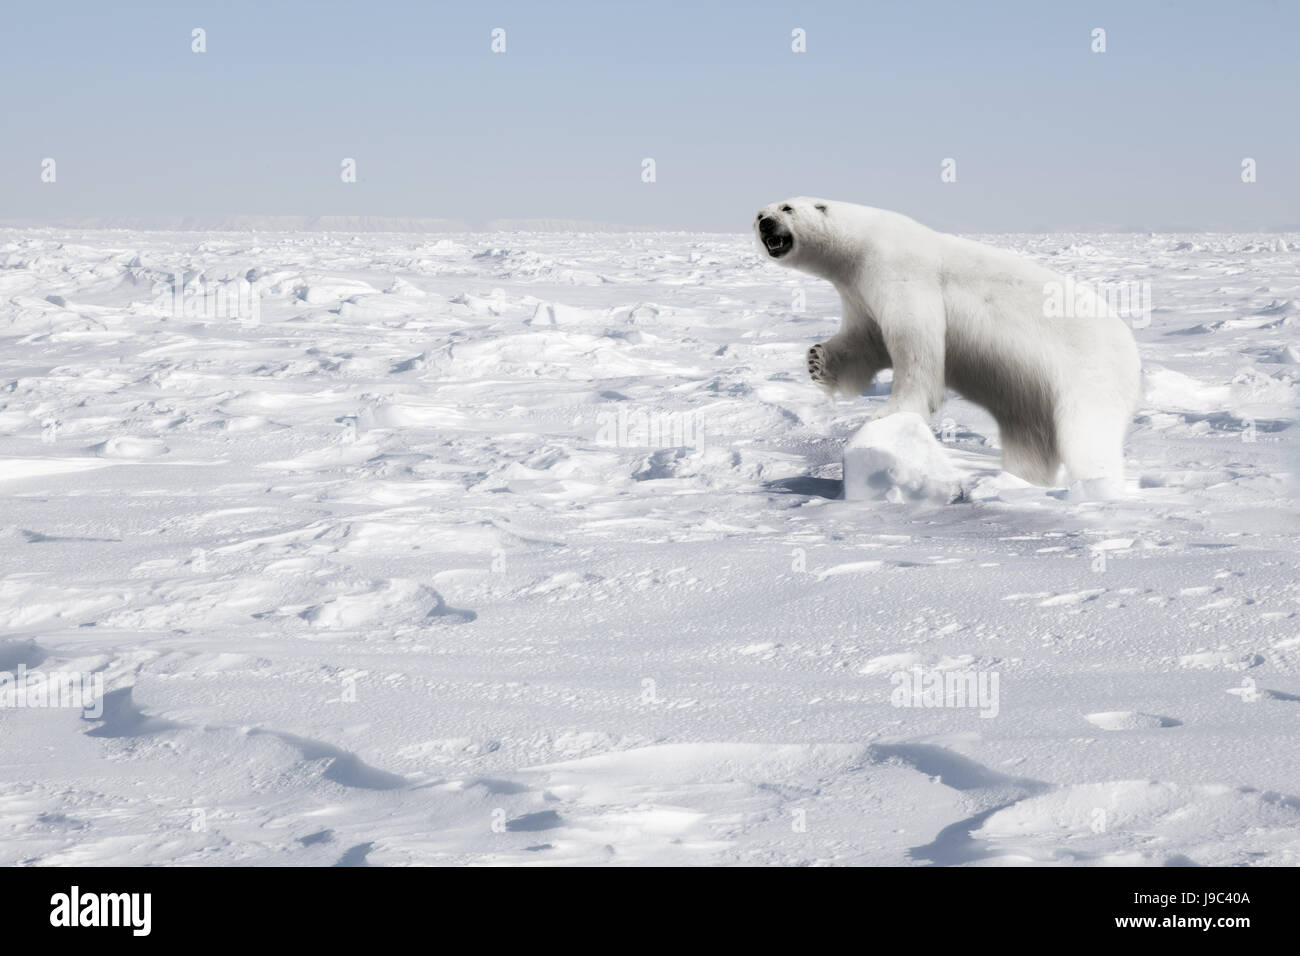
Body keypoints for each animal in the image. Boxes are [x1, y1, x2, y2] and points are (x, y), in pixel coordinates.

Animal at [754, 197, 1141, 492]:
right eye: (760, 213)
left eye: (786, 207)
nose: (765, 223)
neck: (860, 244)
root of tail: (1132, 350)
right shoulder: (859, 294)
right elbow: (864, 342)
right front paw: (817, 360)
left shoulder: (899, 270)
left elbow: (914, 342)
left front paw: (889, 410)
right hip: (1032, 394)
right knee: (1029, 436)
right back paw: (1019, 480)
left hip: (1088, 369)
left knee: (1087, 433)